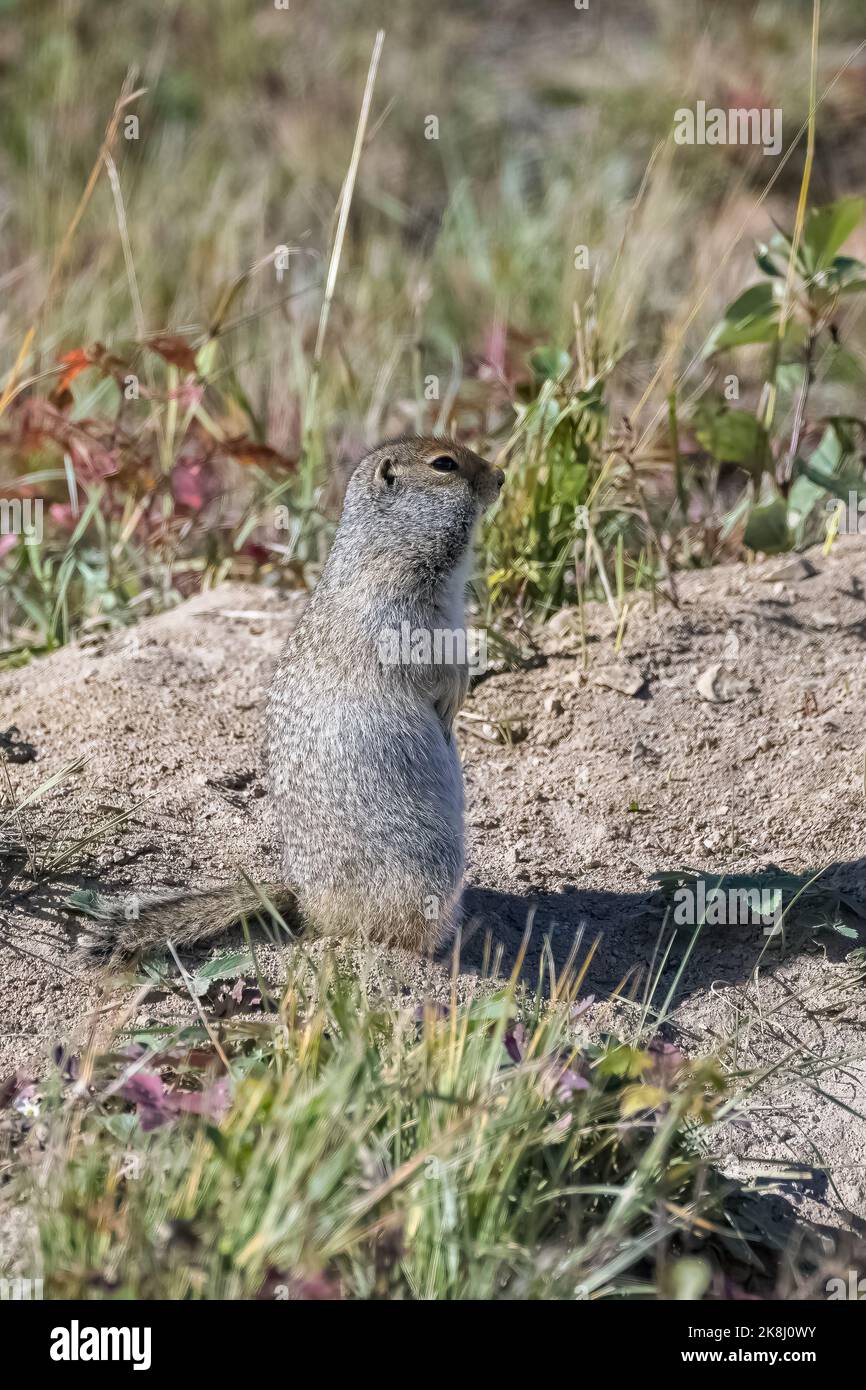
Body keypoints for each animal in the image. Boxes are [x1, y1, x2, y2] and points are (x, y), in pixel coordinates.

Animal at [77, 437, 504, 964]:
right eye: (444, 464)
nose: (502, 476)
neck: (392, 546)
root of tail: (304, 900)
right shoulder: (400, 616)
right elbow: (431, 668)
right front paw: (452, 700)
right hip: (430, 863)